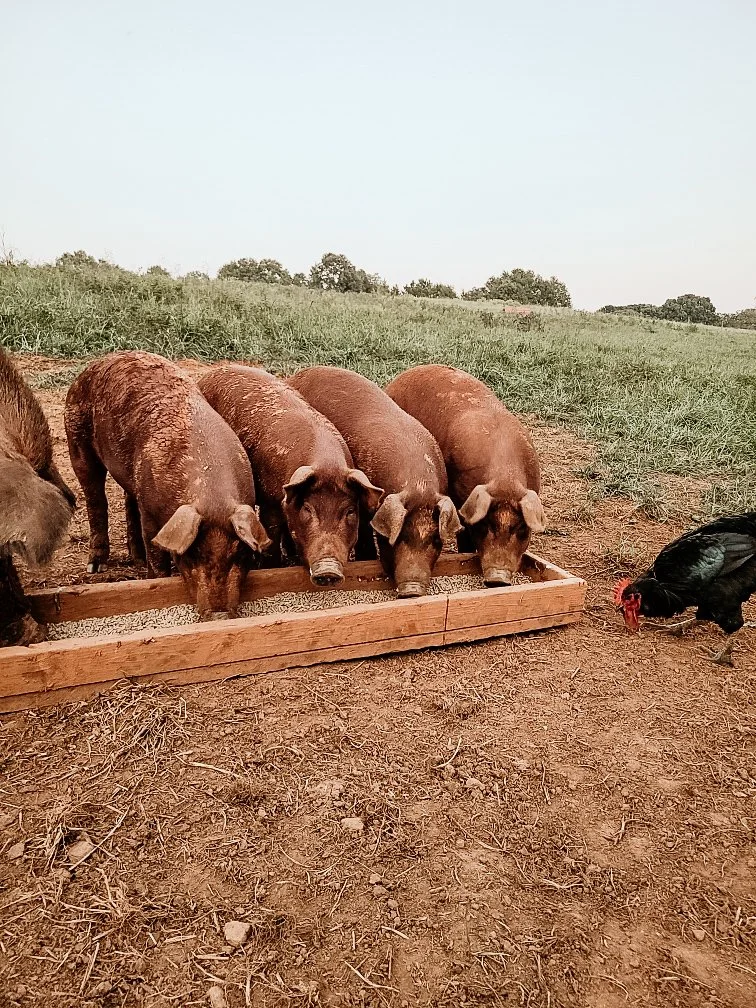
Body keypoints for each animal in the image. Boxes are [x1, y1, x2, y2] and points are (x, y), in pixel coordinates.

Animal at [64, 351, 270, 620]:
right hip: (76, 440)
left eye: (239, 554)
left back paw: (137, 560)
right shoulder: (151, 515)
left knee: (128, 500)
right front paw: (156, 578)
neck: (211, 495)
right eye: (192, 554)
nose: (219, 615)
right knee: (95, 499)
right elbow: (157, 554)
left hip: (131, 477)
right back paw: (96, 566)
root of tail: (100, 361)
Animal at [197, 365, 383, 587]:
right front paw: (272, 567)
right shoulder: (269, 502)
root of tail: (212, 371)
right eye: (307, 508)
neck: (327, 463)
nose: (328, 570)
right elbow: (272, 536)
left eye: (350, 511)